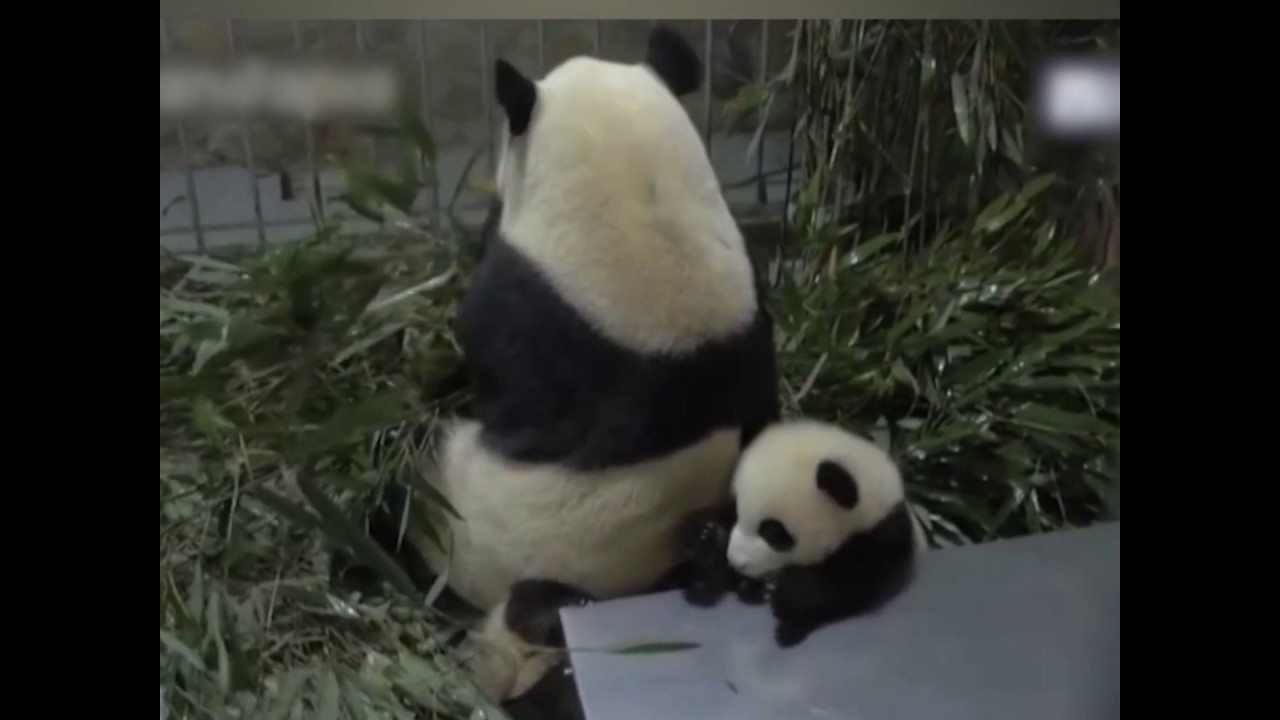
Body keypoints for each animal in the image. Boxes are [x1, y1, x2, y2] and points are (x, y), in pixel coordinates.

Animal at [677, 419, 926, 648]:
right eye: (736, 510)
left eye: (774, 533)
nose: (737, 562)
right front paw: (710, 540)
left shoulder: (882, 536)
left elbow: (848, 584)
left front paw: (788, 597)